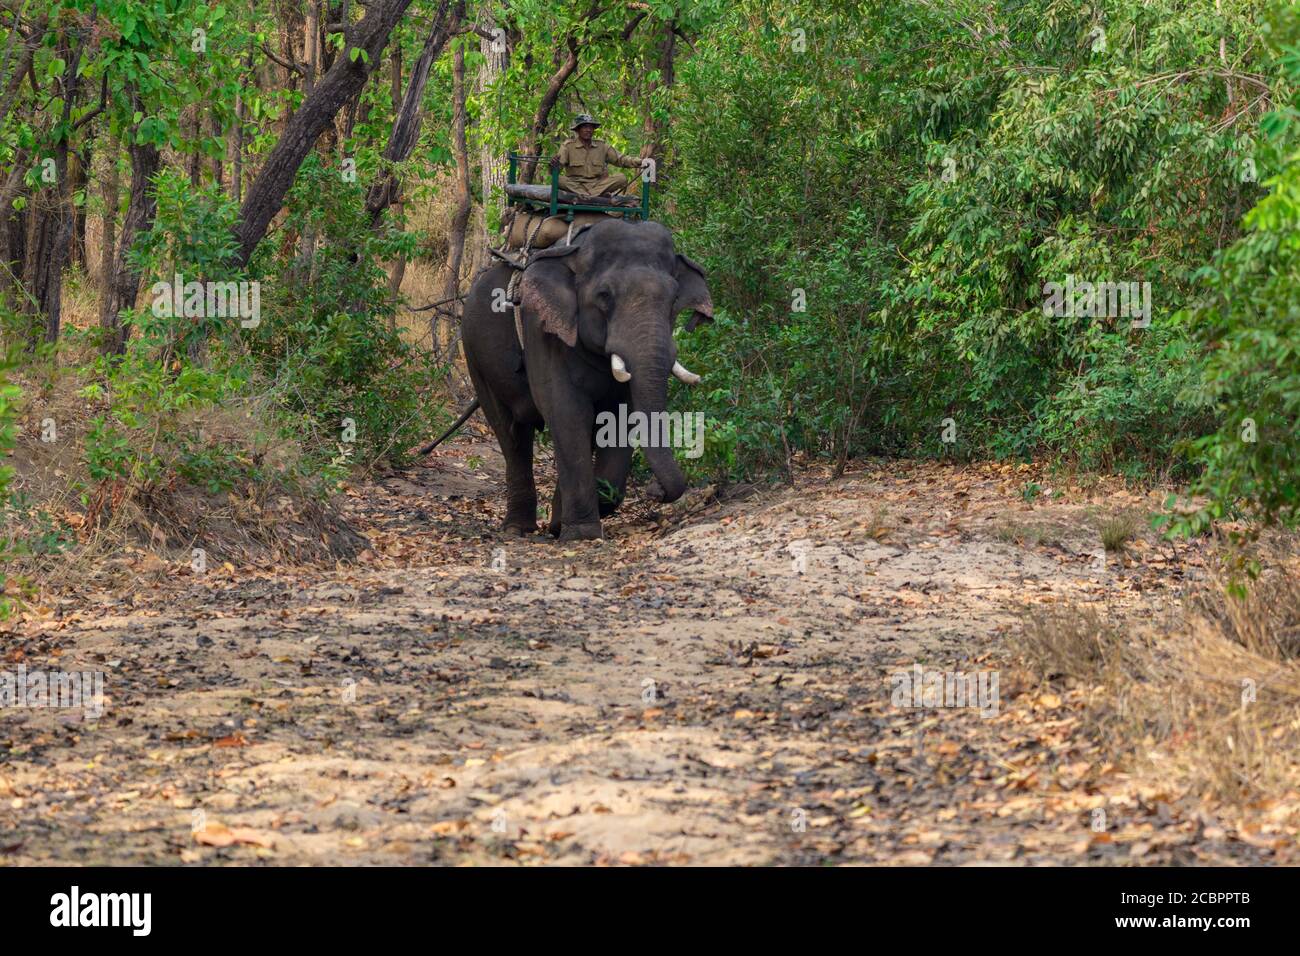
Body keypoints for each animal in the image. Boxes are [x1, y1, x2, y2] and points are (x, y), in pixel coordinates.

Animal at [460, 218, 714, 541]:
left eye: (674, 299)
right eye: (604, 296)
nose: (656, 491)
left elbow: (619, 419)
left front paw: (564, 523)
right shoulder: (542, 328)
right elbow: (568, 412)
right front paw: (582, 534)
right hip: (474, 354)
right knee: (511, 433)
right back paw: (517, 528)